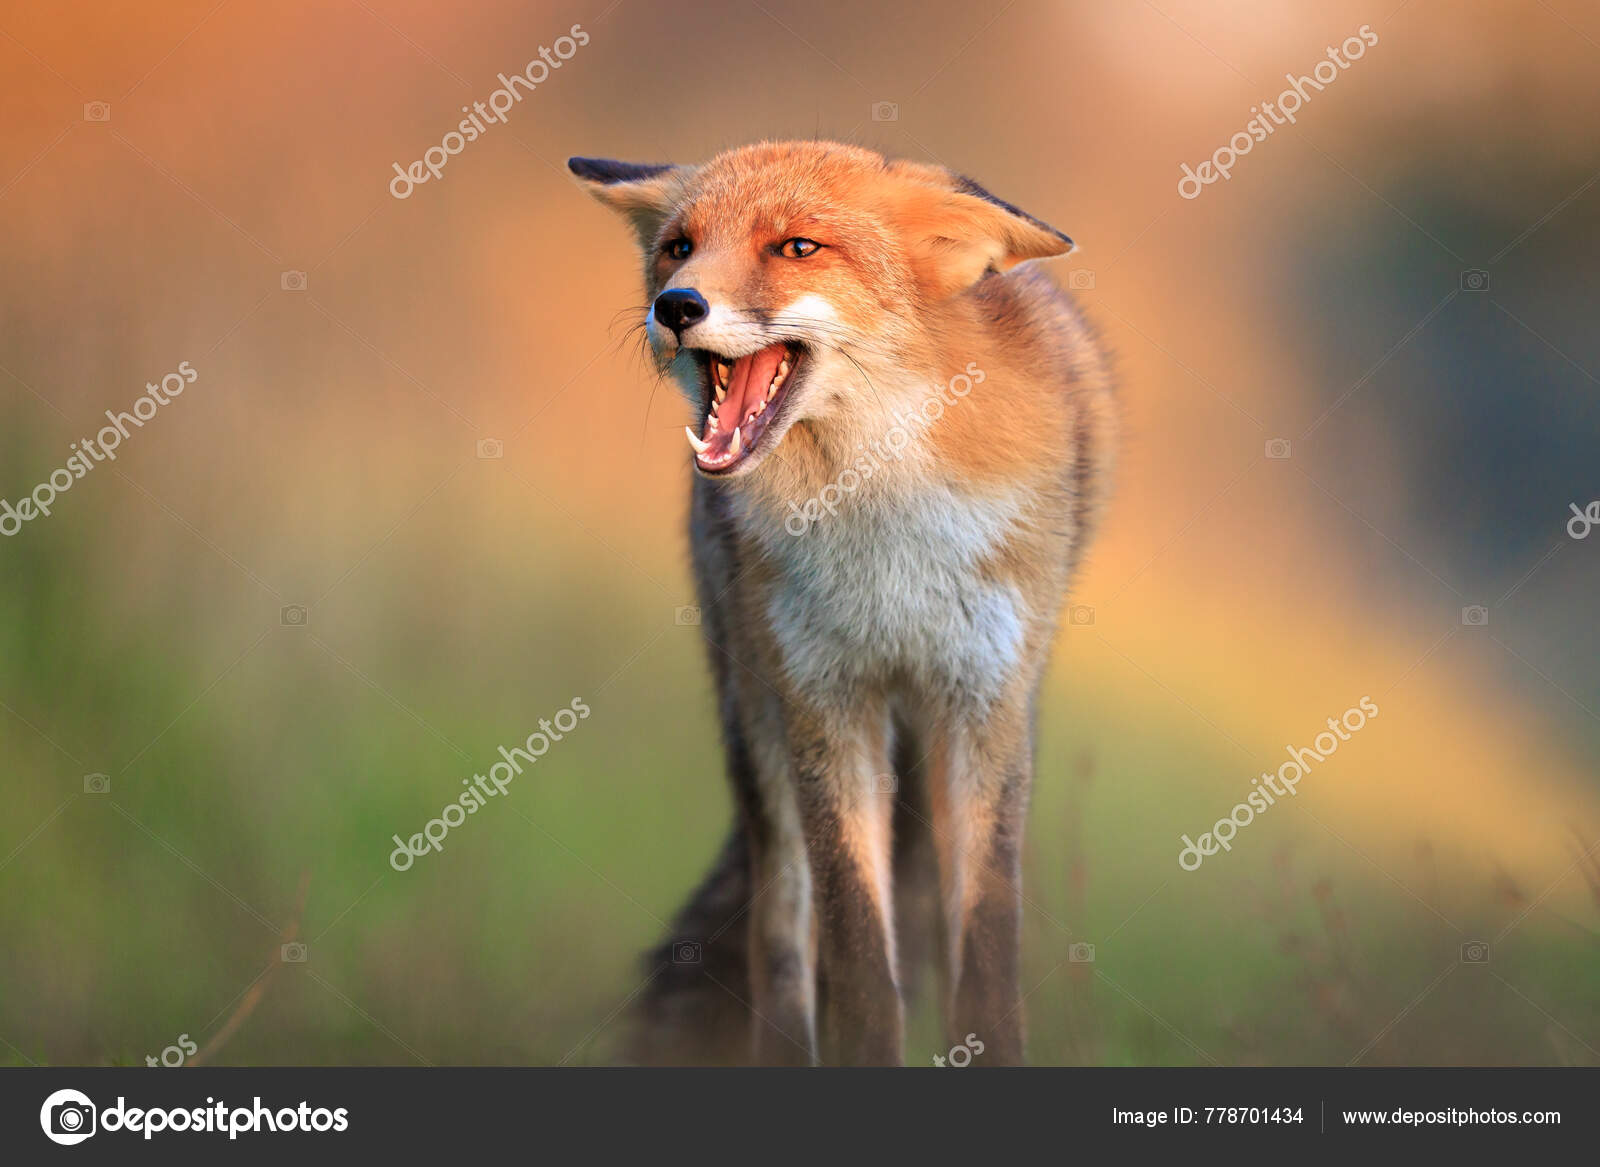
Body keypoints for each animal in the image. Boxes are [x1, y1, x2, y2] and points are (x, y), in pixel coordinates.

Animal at [569, 141, 1116, 1066]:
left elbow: (985, 964)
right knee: (781, 941)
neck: (882, 535)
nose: (674, 306)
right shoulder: (824, 701)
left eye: (797, 247)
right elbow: (858, 965)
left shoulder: (984, 703)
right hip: (756, 724)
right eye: (679, 247)